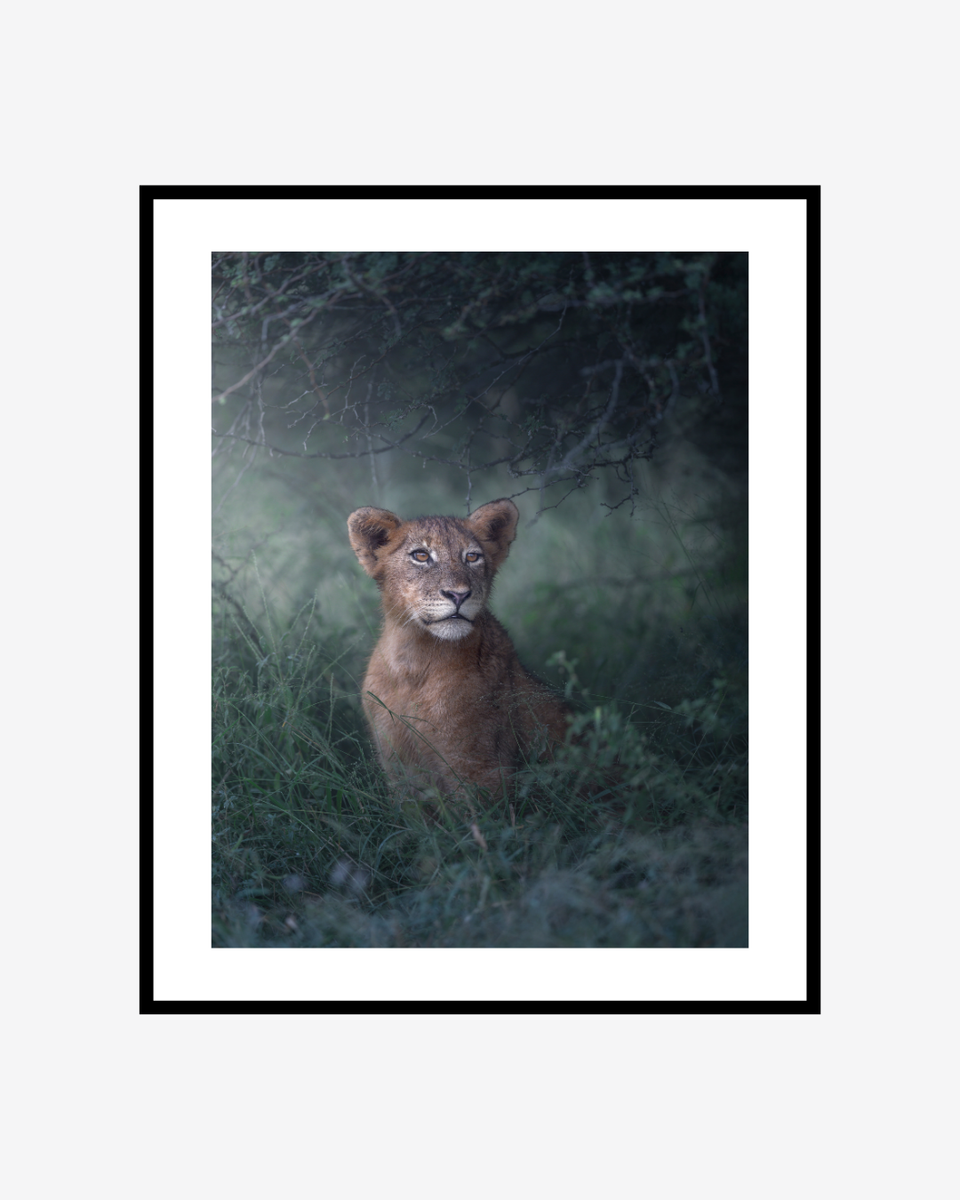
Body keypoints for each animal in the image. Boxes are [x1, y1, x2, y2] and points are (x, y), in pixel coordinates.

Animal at [347, 497, 570, 800]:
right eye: (421, 556)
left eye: (472, 557)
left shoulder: (477, 771)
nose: (459, 595)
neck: (412, 661)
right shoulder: (400, 771)